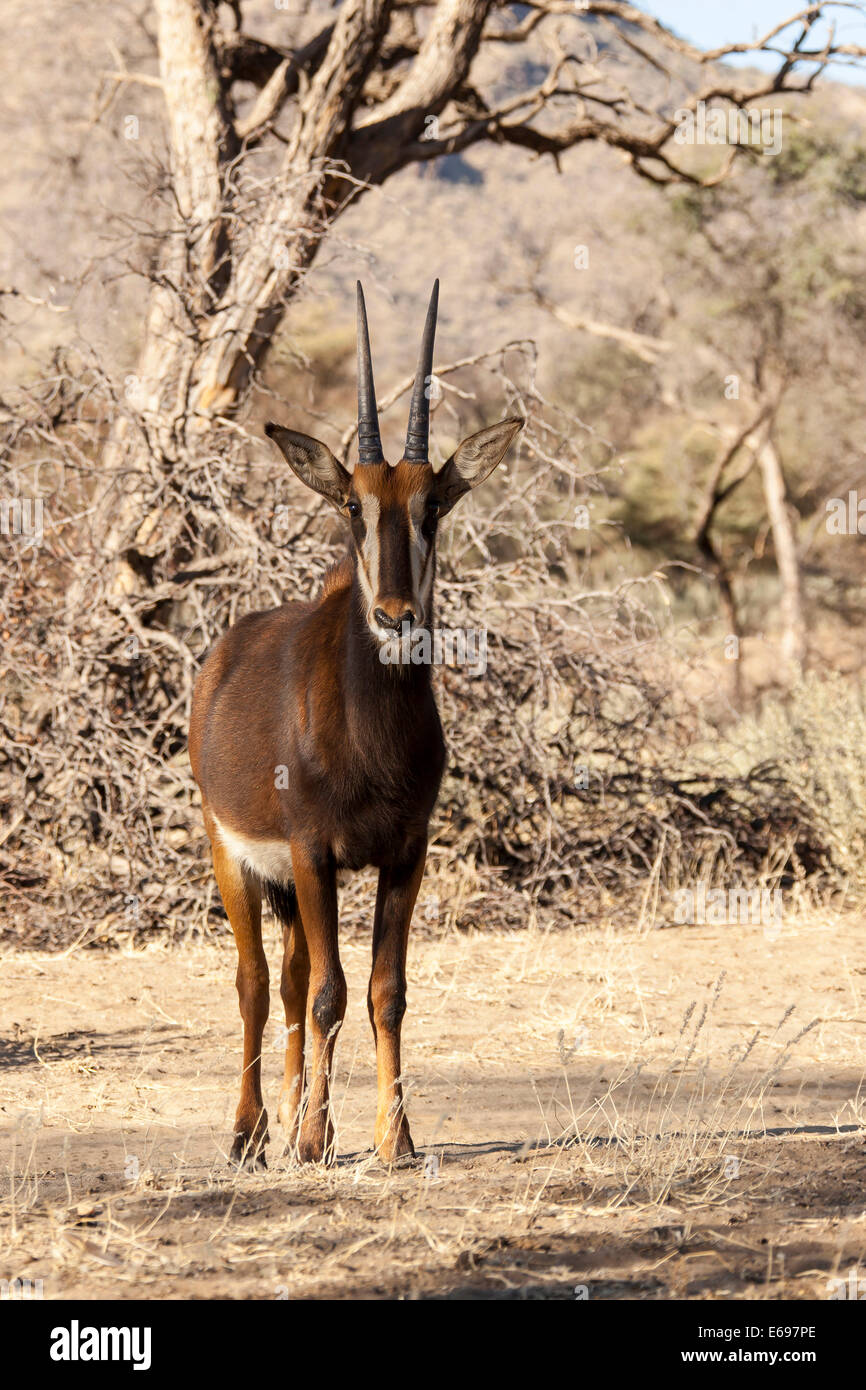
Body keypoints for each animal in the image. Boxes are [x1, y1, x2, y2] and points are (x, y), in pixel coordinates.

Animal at [189, 281, 522, 1167]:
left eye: (433, 505)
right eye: (351, 503)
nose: (397, 616)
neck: (371, 736)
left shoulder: (404, 853)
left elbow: (384, 992)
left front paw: (392, 1139)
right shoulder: (314, 852)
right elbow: (331, 993)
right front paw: (310, 1141)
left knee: (293, 979)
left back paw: (298, 1112)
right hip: (235, 857)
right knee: (259, 984)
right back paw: (251, 1132)